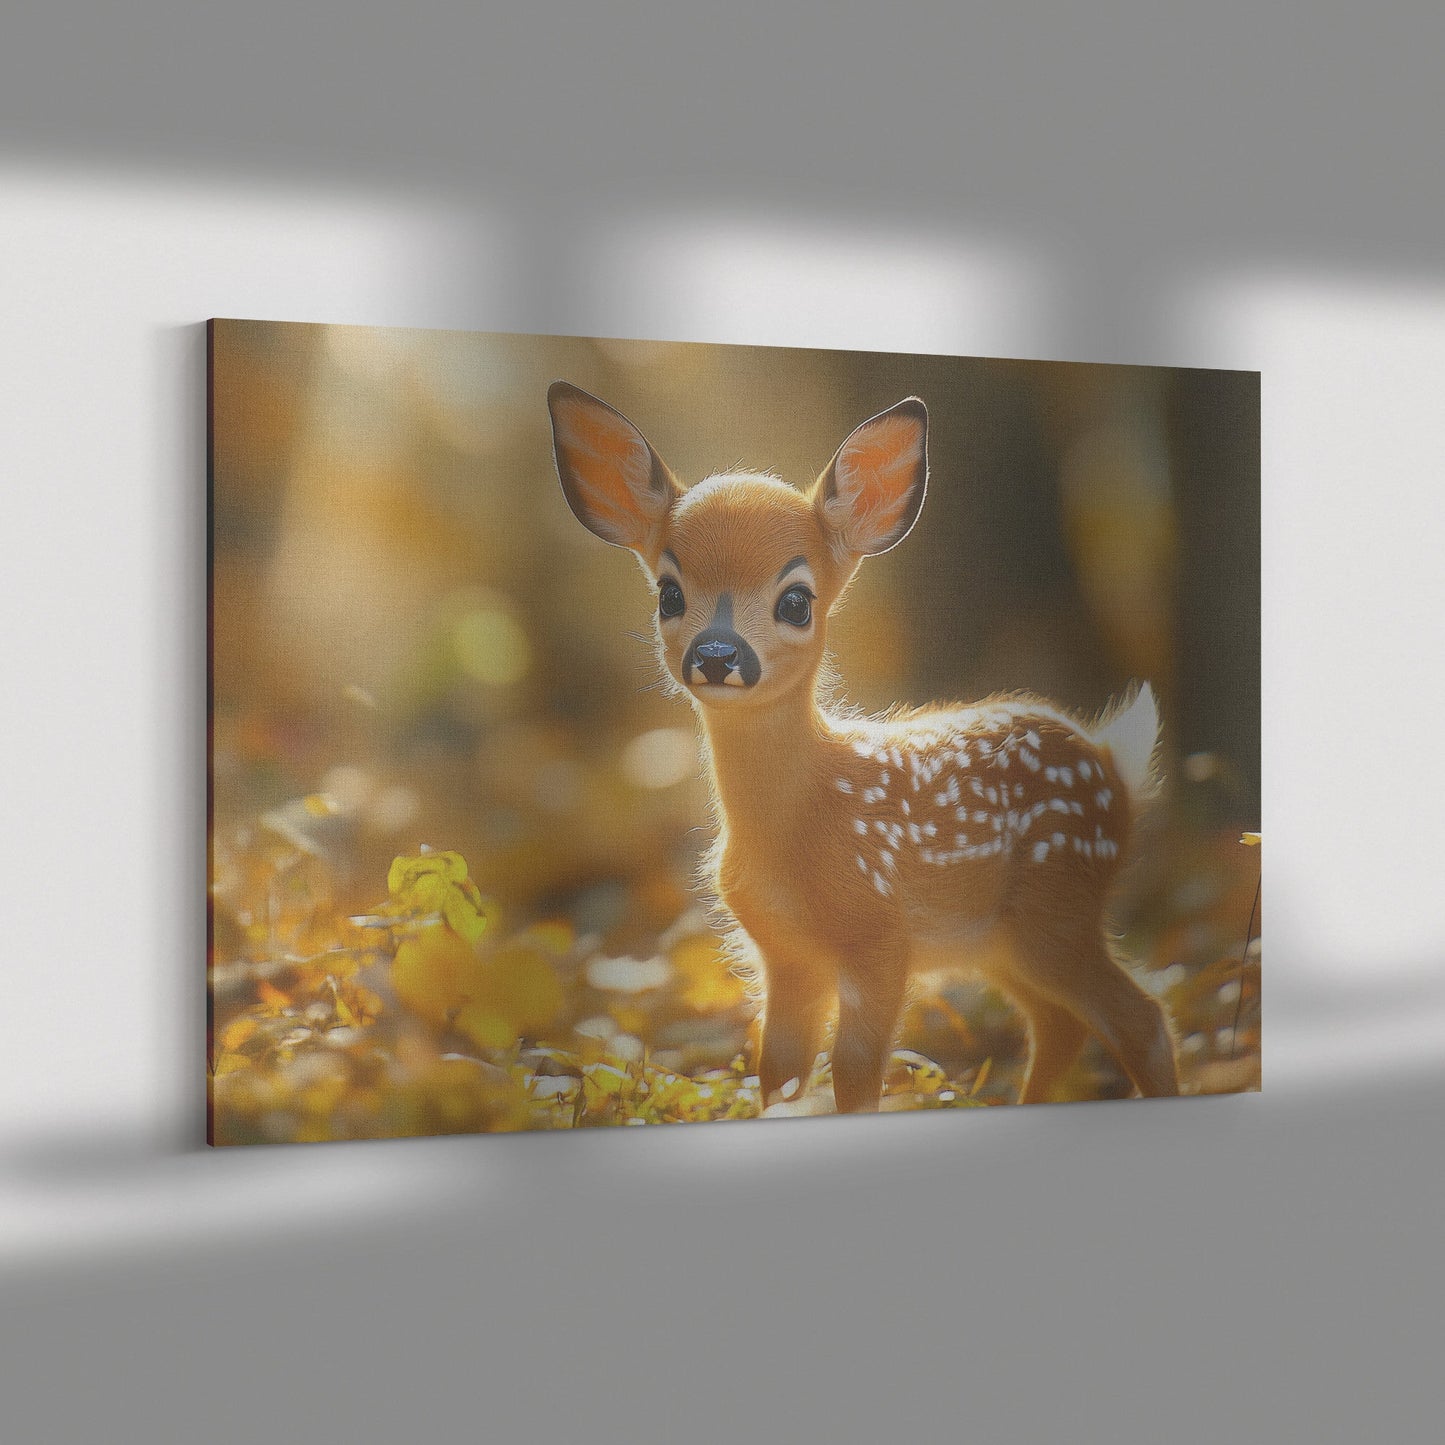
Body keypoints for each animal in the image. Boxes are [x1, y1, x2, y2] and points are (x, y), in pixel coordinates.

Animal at [547, 381, 1179, 1114]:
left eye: (796, 600)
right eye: (668, 594)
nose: (717, 654)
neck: (796, 820)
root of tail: (1111, 759)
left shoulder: (878, 933)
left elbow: (852, 1075)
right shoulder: (784, 952)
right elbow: (779, 1072)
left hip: (1057, 902)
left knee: (1138, 1017)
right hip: (1002, 938)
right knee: (1060, 1025)